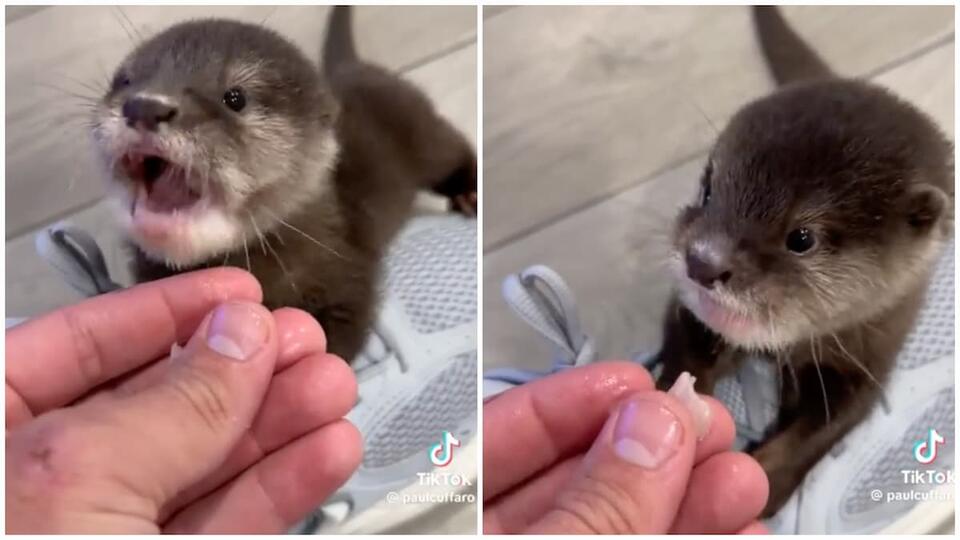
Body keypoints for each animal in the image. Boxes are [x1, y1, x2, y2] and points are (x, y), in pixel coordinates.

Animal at [91, 6, 477, 362]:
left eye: (235, 97)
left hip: (424, 133)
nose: (145, 106)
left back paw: (470, 195)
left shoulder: (350, 277)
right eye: (125, 80)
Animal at [654, 6, 953, 515]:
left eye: (801, 237)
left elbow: (819, 431)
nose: (702, 261)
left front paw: (762, 487)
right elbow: (685, 348)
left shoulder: (866, 360)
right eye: (708, 189)